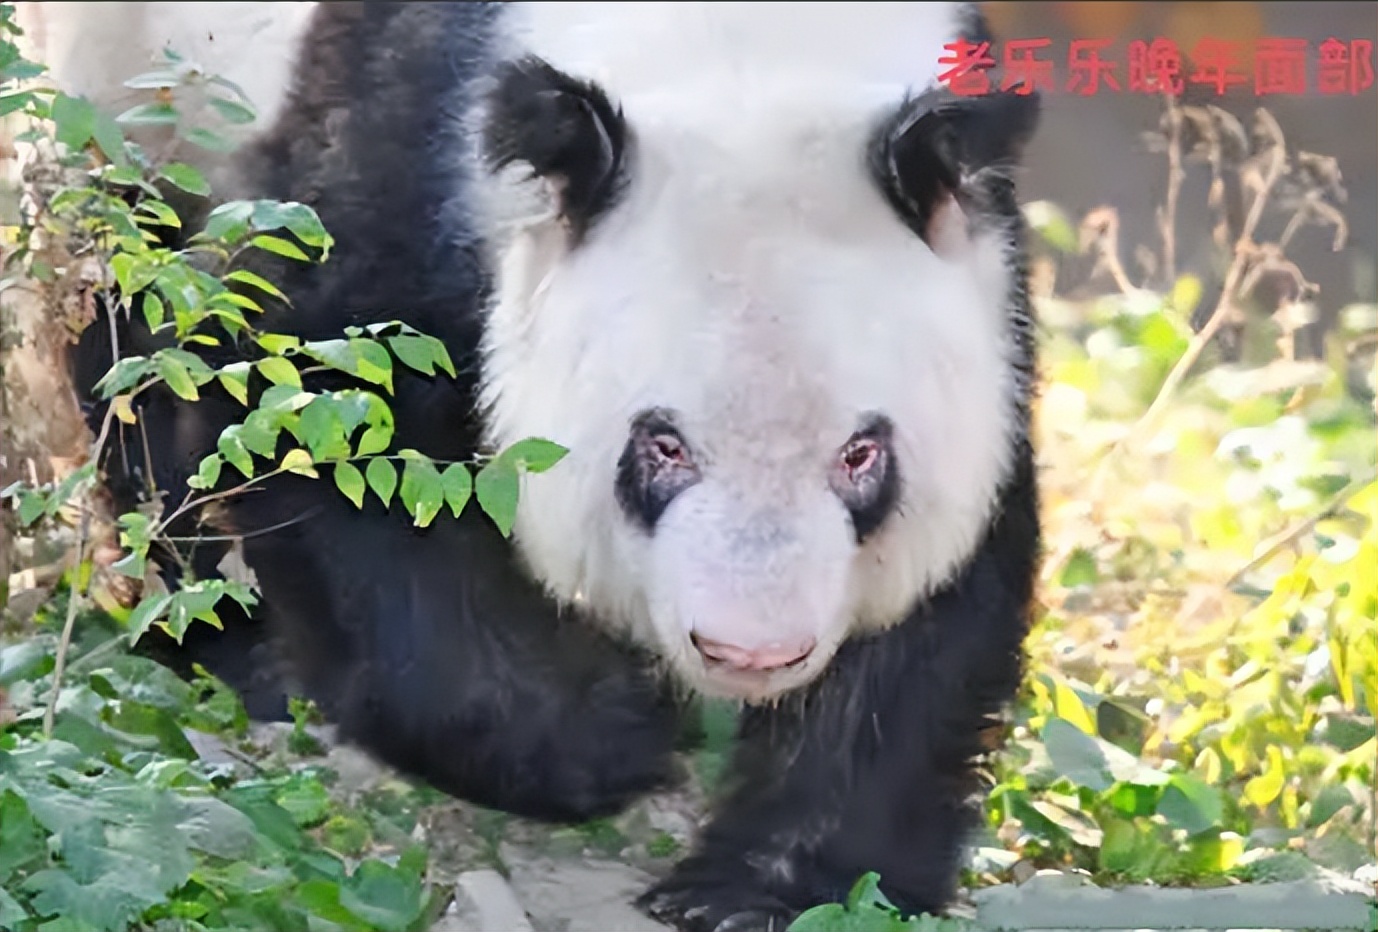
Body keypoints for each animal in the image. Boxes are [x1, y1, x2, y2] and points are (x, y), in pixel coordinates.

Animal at [71, 3, 1043, 930]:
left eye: (860, 454)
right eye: (663, 445)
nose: (750, 652)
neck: (755, 58)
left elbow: (936, 605)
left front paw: (761, 888)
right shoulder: (400, 152)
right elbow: (323, 409)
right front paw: (613, 727)